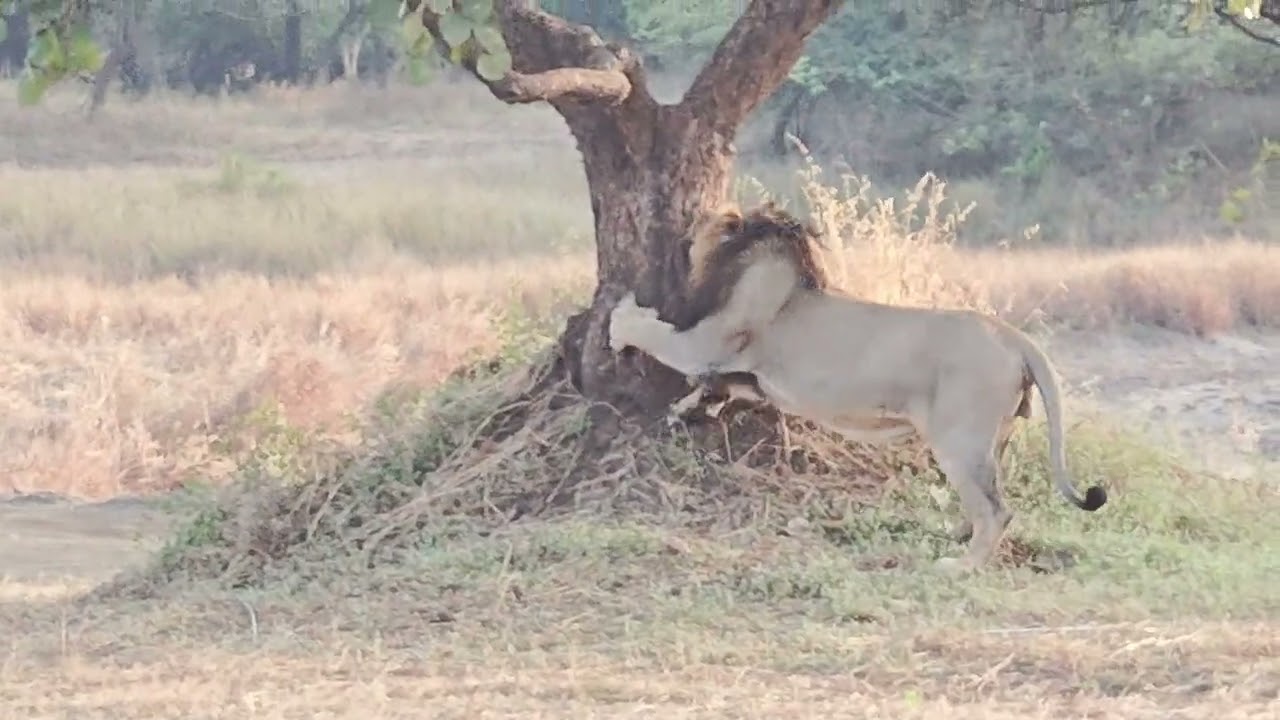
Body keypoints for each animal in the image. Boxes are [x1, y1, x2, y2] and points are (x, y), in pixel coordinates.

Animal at [607, 202, 1108, 574]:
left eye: (707, 221)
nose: (685, 229)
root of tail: (1015, 336)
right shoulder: (743, 374)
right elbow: (717, 389)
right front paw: (687, 407)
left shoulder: (708, 343)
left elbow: (653, 333)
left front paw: (621, 316)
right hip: (995, 437)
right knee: (989, 498)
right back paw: (955, 535)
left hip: (959, 439)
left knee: (996, 511)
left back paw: (959, 565)